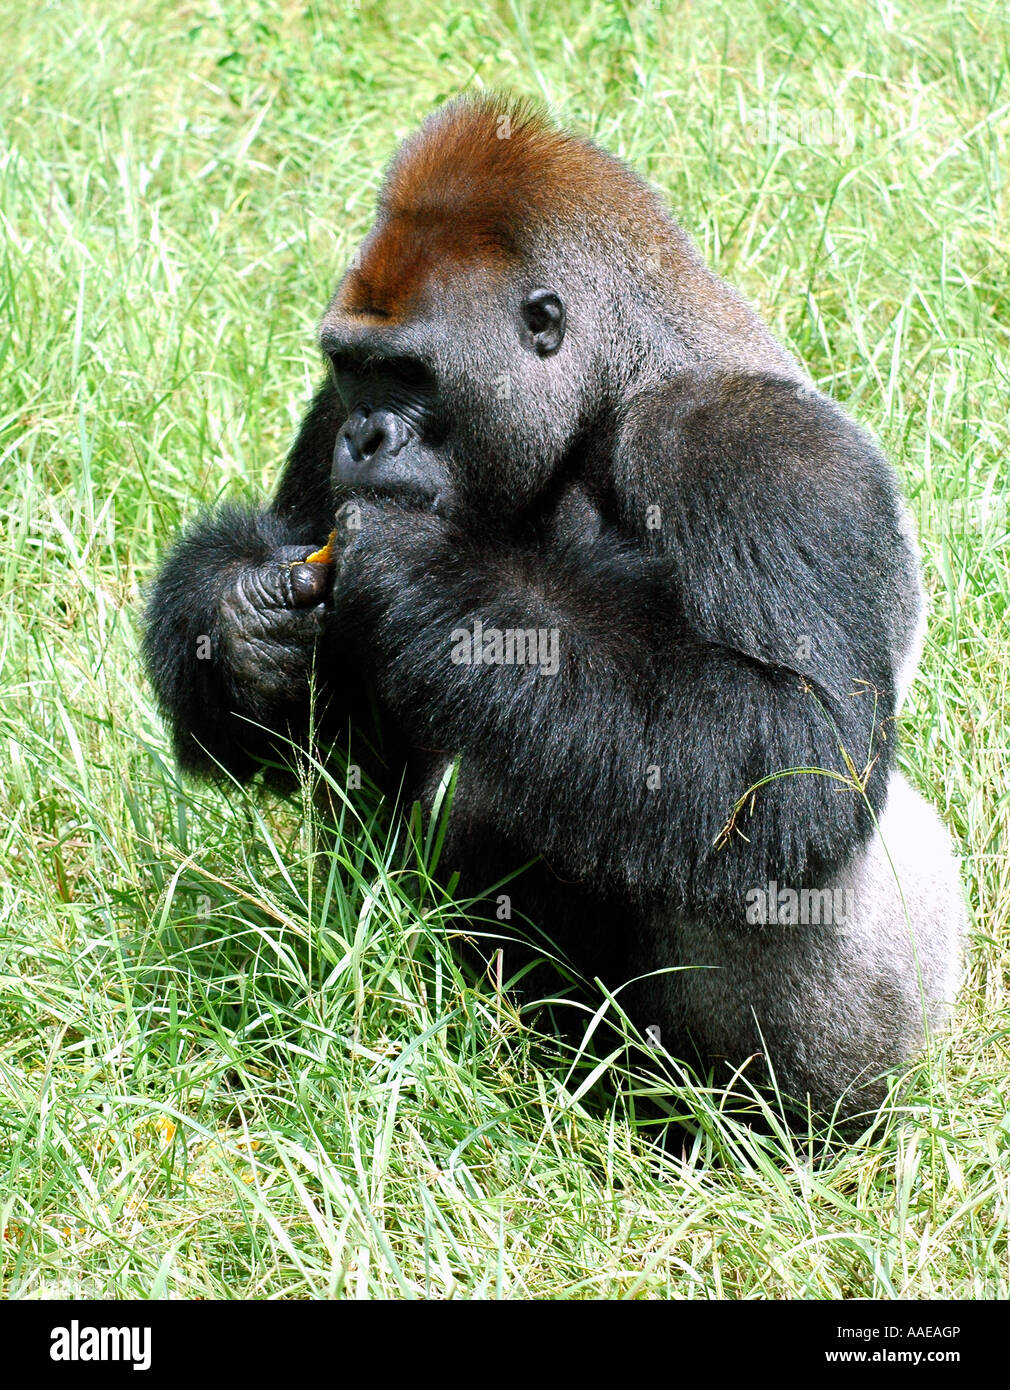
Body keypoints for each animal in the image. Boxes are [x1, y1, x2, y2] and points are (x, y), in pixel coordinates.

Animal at [143, 95, 965, 1122]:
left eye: (409, 374)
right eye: (353, 369)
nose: (365, 437)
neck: (614, 385)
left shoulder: (757, 448)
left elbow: (793, 758)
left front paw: (423, 574)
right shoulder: (323, 423)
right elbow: (283, 702)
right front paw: (244, 621)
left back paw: (756, 1121)